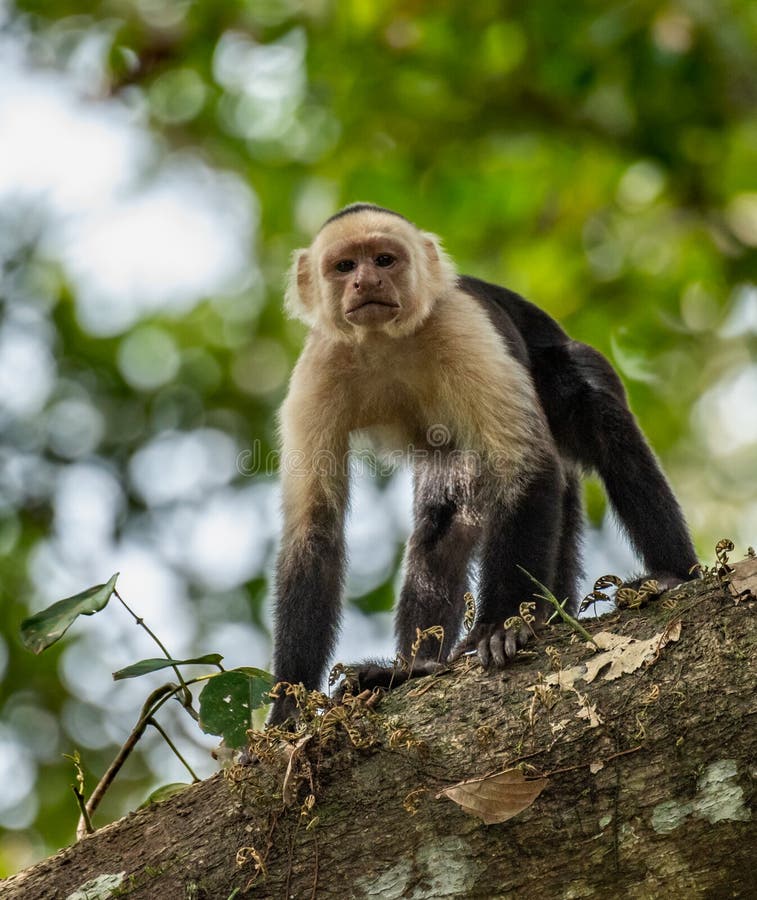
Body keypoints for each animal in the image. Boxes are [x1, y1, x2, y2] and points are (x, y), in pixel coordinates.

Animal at [268, 203, 698, 725]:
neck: (385, 342)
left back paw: (670, 573)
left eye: (385, 259)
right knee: (443, 520)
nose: (366, 281)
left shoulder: (459, 322)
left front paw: (500, 625)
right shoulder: (319, 367)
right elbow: (314, 532)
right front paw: (287, 711)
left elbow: (524, 465)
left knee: (589, 406)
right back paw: (413, 670)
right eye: (345, 266)